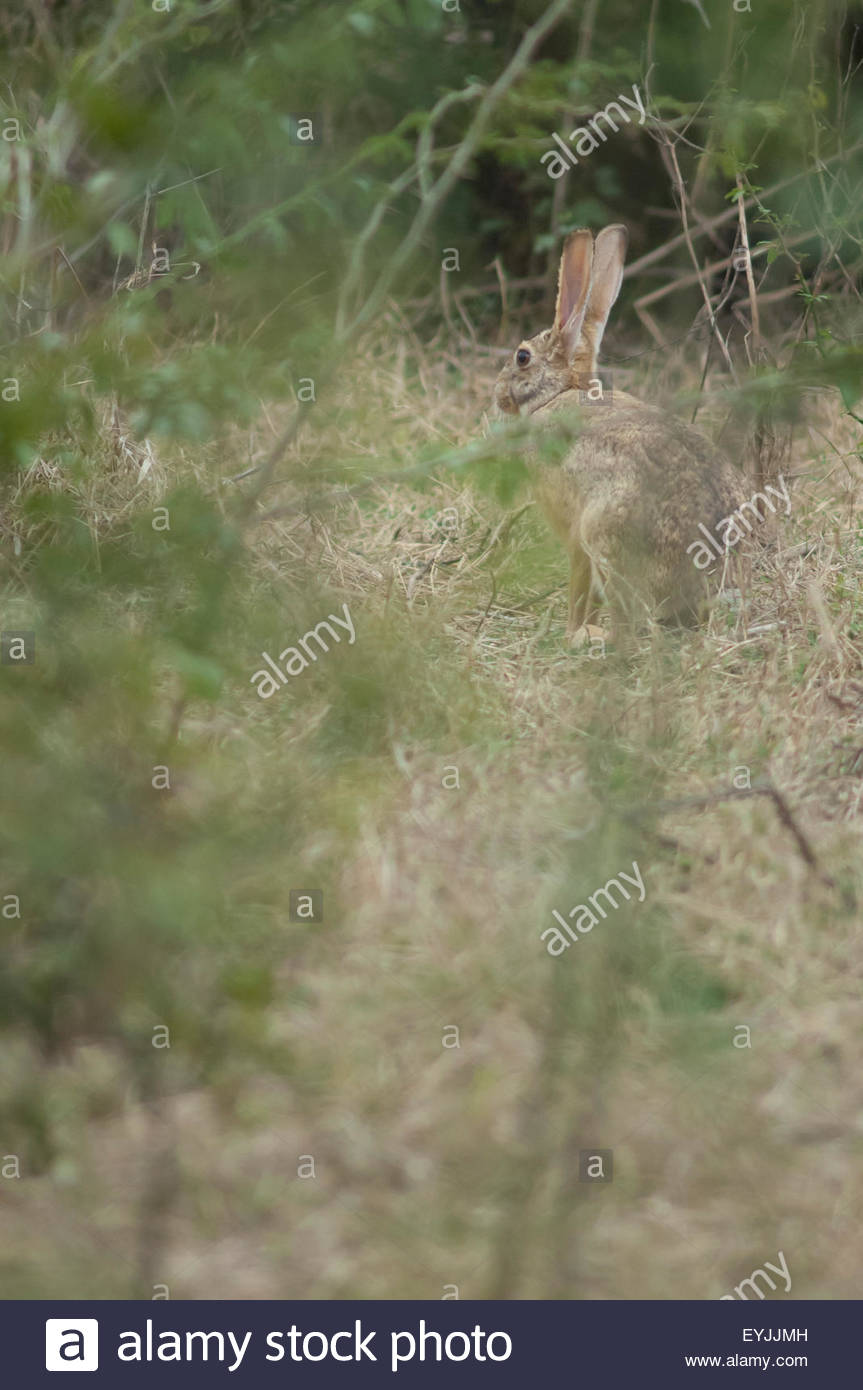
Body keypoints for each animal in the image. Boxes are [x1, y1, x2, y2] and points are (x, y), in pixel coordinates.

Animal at [493, 224, 740, 644]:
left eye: (522, 357)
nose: (497, 396)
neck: (559, 393)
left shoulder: (574, 530)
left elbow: (579, 586)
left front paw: (572, 631)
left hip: (605, 532)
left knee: (635, 620)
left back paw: (595, 637)